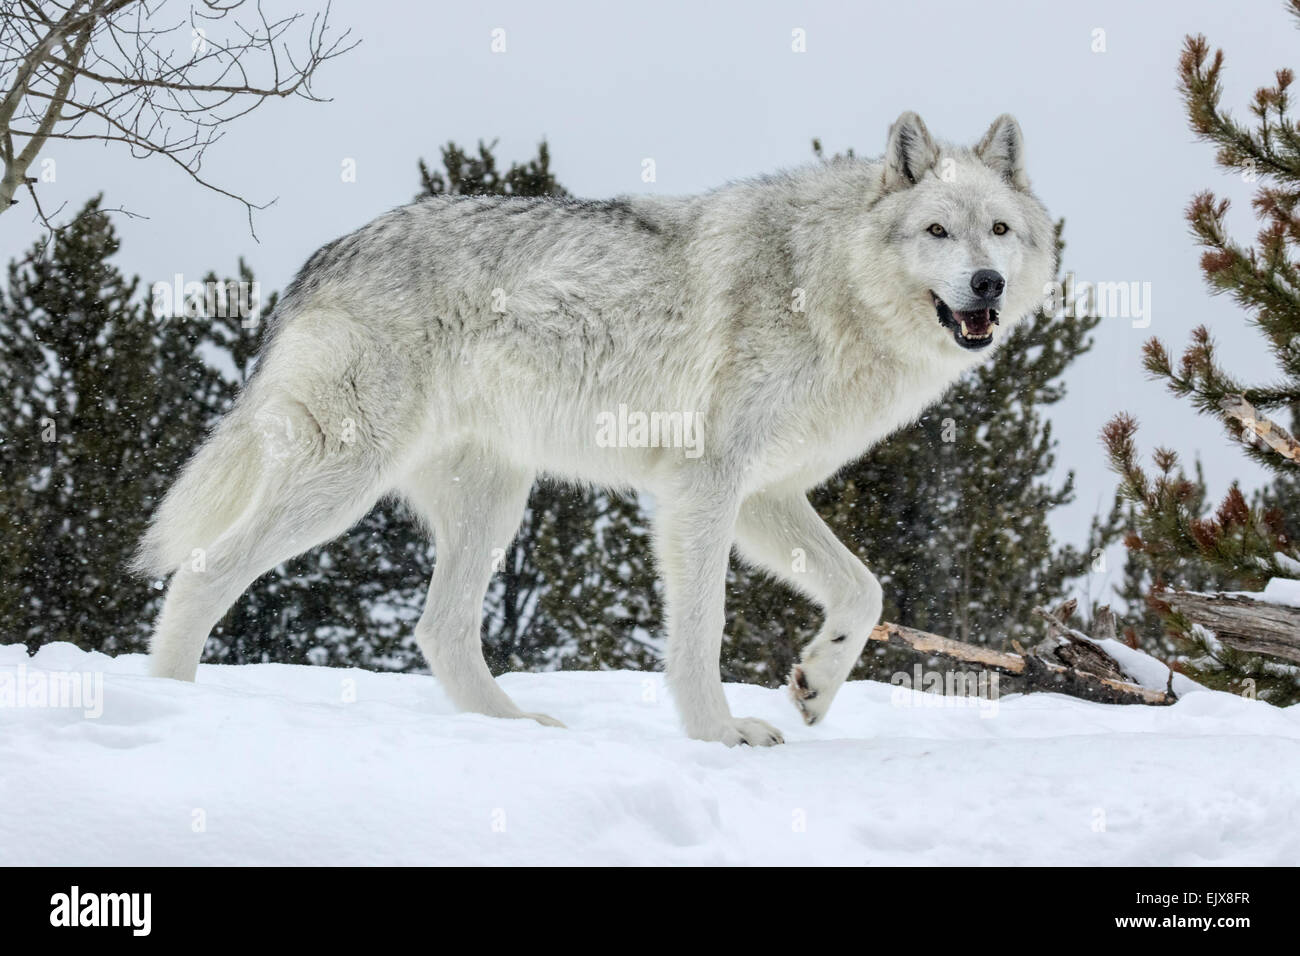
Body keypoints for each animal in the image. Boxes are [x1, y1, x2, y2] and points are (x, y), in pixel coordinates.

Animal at [137, 112, 1054, 746]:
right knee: (203, 575)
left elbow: (865, 591)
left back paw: (516, 732)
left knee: (440, 630)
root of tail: (321, 258)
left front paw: (816, 684)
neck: (823, 284)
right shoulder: (703, 487)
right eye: (936, 230)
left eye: (998, 230)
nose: (987, 284)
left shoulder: (765, 495)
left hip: (493, 506)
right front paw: (719, 735)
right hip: (343, 485)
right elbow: (702, 629)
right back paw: (171, 707)